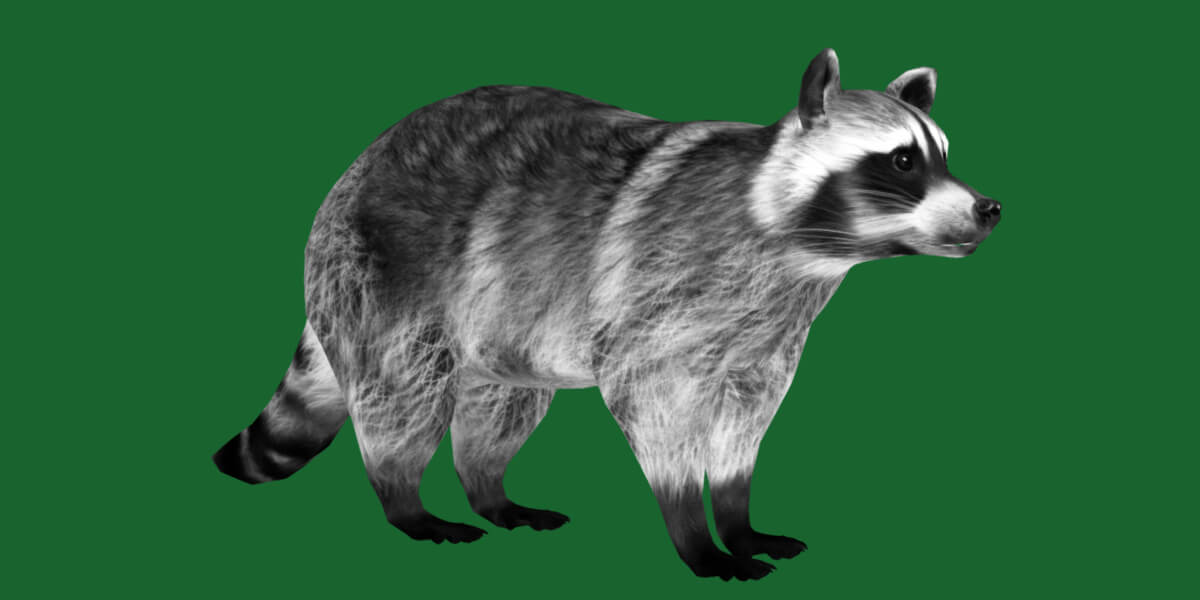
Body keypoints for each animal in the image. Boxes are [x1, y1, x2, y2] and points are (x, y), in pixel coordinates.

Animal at [213, 48, 1000, 581]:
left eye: (943, 156)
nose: (988, 208)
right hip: (386, 278)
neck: (804, 251)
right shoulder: (662, 299)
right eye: (901, 162)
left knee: (499, 408)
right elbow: (654, 408)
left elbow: (746, 423)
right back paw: (404, 498)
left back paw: (488, 490)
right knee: (403, 392)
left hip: (500, 327)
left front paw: (737, 512)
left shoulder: (764, 338)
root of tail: (349, 173)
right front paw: (693, 530)